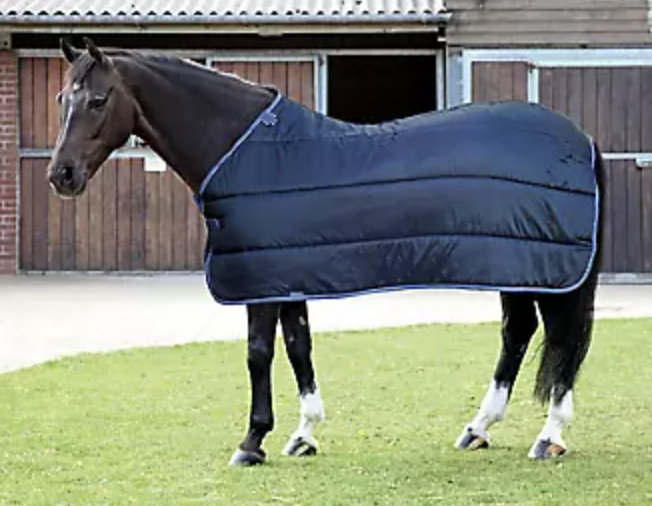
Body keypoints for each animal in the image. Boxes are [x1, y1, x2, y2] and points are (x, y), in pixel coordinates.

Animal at [47, 38, 604, 467]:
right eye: (60, 98)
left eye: (98, 99)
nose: (61, 175)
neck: (244, 150)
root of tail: (581, 138)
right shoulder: (287, 274)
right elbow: (299, 347)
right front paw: (303, 435)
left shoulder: (261, 280)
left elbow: (258, 353)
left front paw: (251, 442)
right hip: (518, 264)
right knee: (519, 333)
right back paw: (478, 428)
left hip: (544, 269)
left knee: (558, 338)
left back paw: (549, 436)